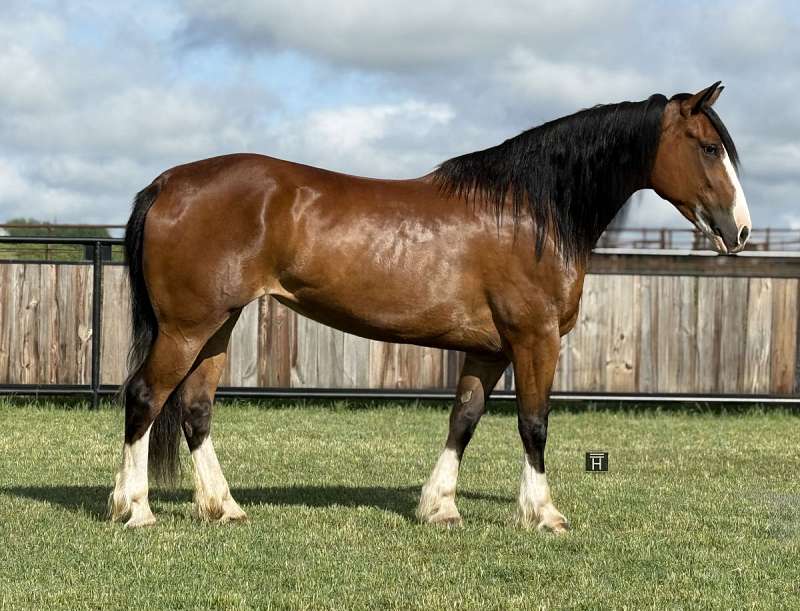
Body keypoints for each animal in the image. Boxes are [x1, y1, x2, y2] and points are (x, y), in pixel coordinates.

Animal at [109, 81, 750, 531]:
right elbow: (534, 423)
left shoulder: (489, 349)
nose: (740, 230)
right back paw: (135, 509)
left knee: (195, 409)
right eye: (709, 147)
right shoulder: (534, 339)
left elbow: (463, 419)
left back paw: (223, 507)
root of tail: (167, 183)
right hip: (186, 328)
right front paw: (543, 513)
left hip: (217, 327)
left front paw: (439, 506)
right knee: (144, 396)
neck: (528, 213)